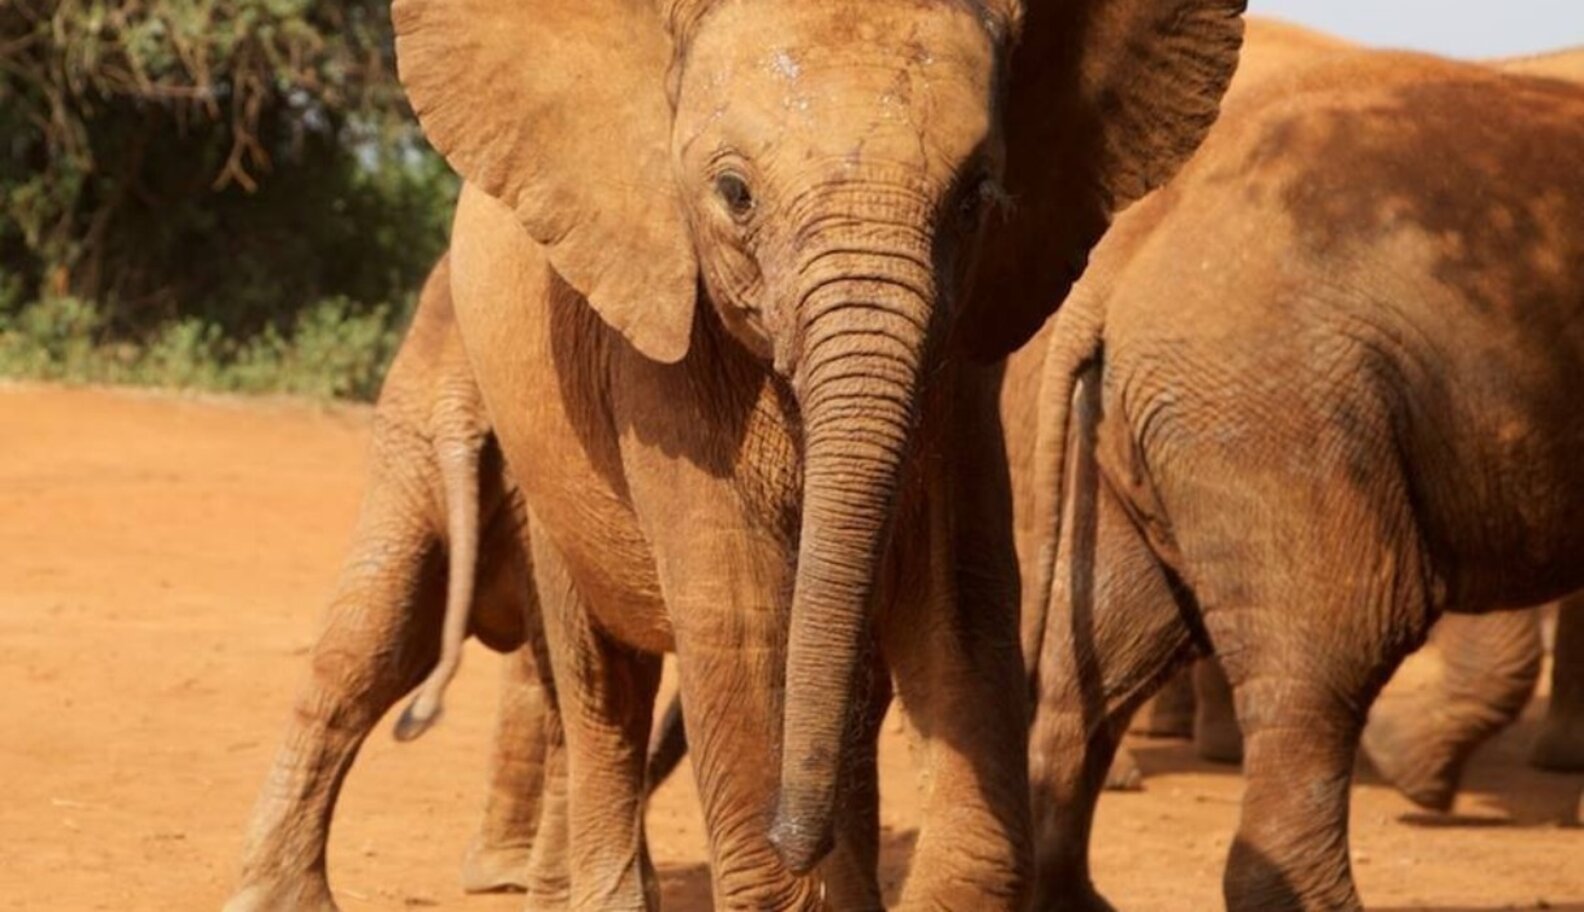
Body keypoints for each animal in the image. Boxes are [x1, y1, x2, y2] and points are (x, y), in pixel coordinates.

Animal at [390, 0, 1249, 906]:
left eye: (975, 200)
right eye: (734, 194)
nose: (795, 830)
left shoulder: (957, 364)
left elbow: (960, 605)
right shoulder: (658, 321)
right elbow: (740, 620)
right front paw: (788, 859)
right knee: (601, 680)